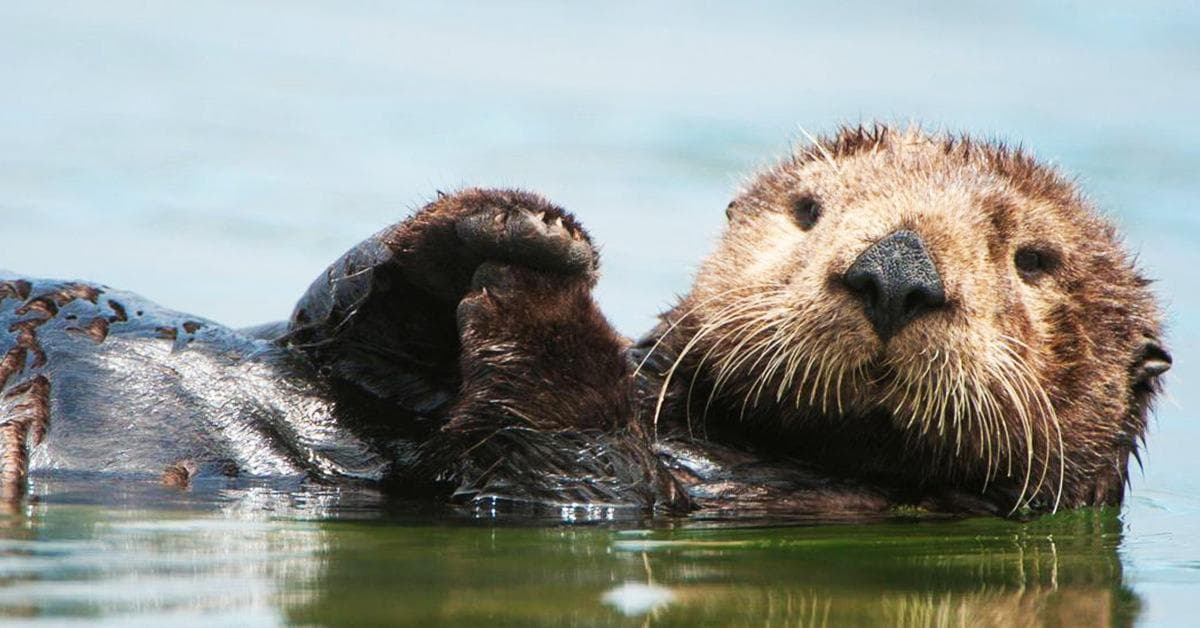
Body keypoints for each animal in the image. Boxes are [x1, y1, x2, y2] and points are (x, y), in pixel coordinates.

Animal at [0, 125, 1170, 517]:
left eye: (1033, 259)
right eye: (809, 210)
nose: (893, 270)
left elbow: (556, 463)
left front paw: (537, 284)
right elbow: (342, 331)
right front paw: (502, 226)